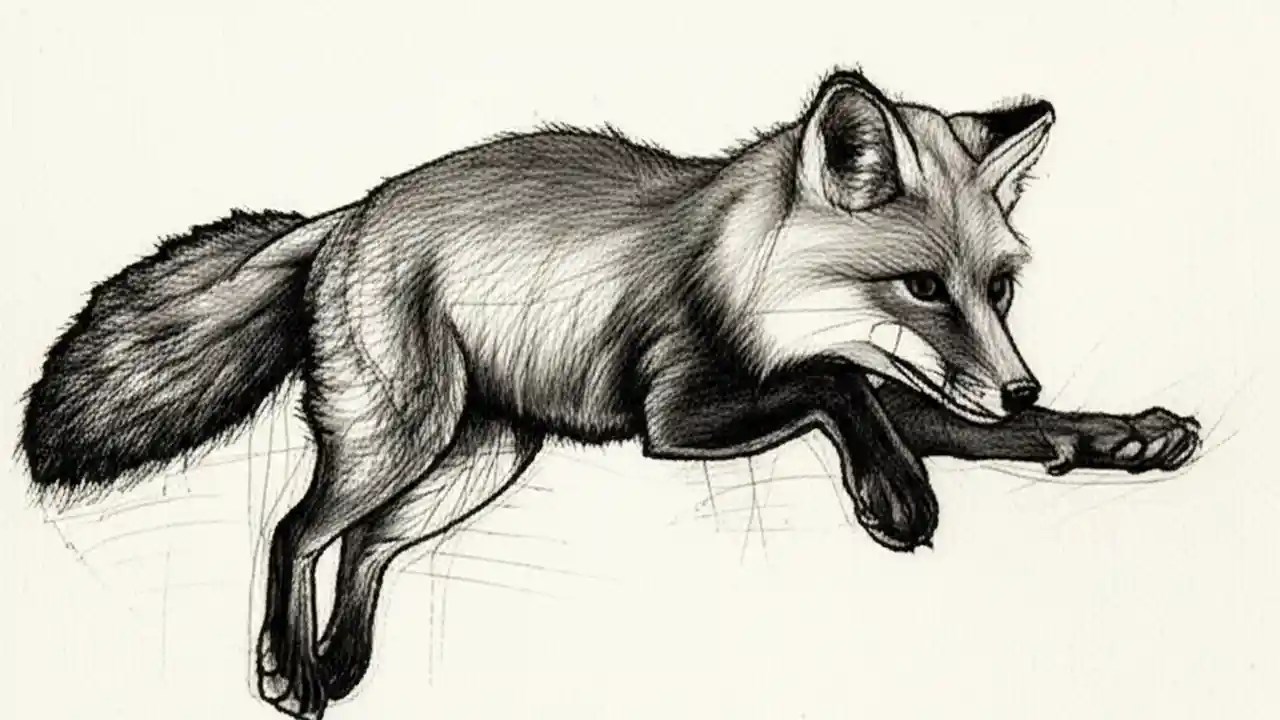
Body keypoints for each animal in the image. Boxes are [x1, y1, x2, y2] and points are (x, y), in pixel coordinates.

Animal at [21, 69, 1201, 719]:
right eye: (919, 286)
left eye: (998, 288)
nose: (1017, 381)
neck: (737, 270)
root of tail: (352, 209)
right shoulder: (677, 416)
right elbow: (839, 385)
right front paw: (896, 496)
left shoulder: (871, 389)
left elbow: (951, 419)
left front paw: (1117, 434)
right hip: (401, 437)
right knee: (295, 529)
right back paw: (286, 668)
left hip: (478, 462)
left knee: (362, 544)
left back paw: (343, 663)